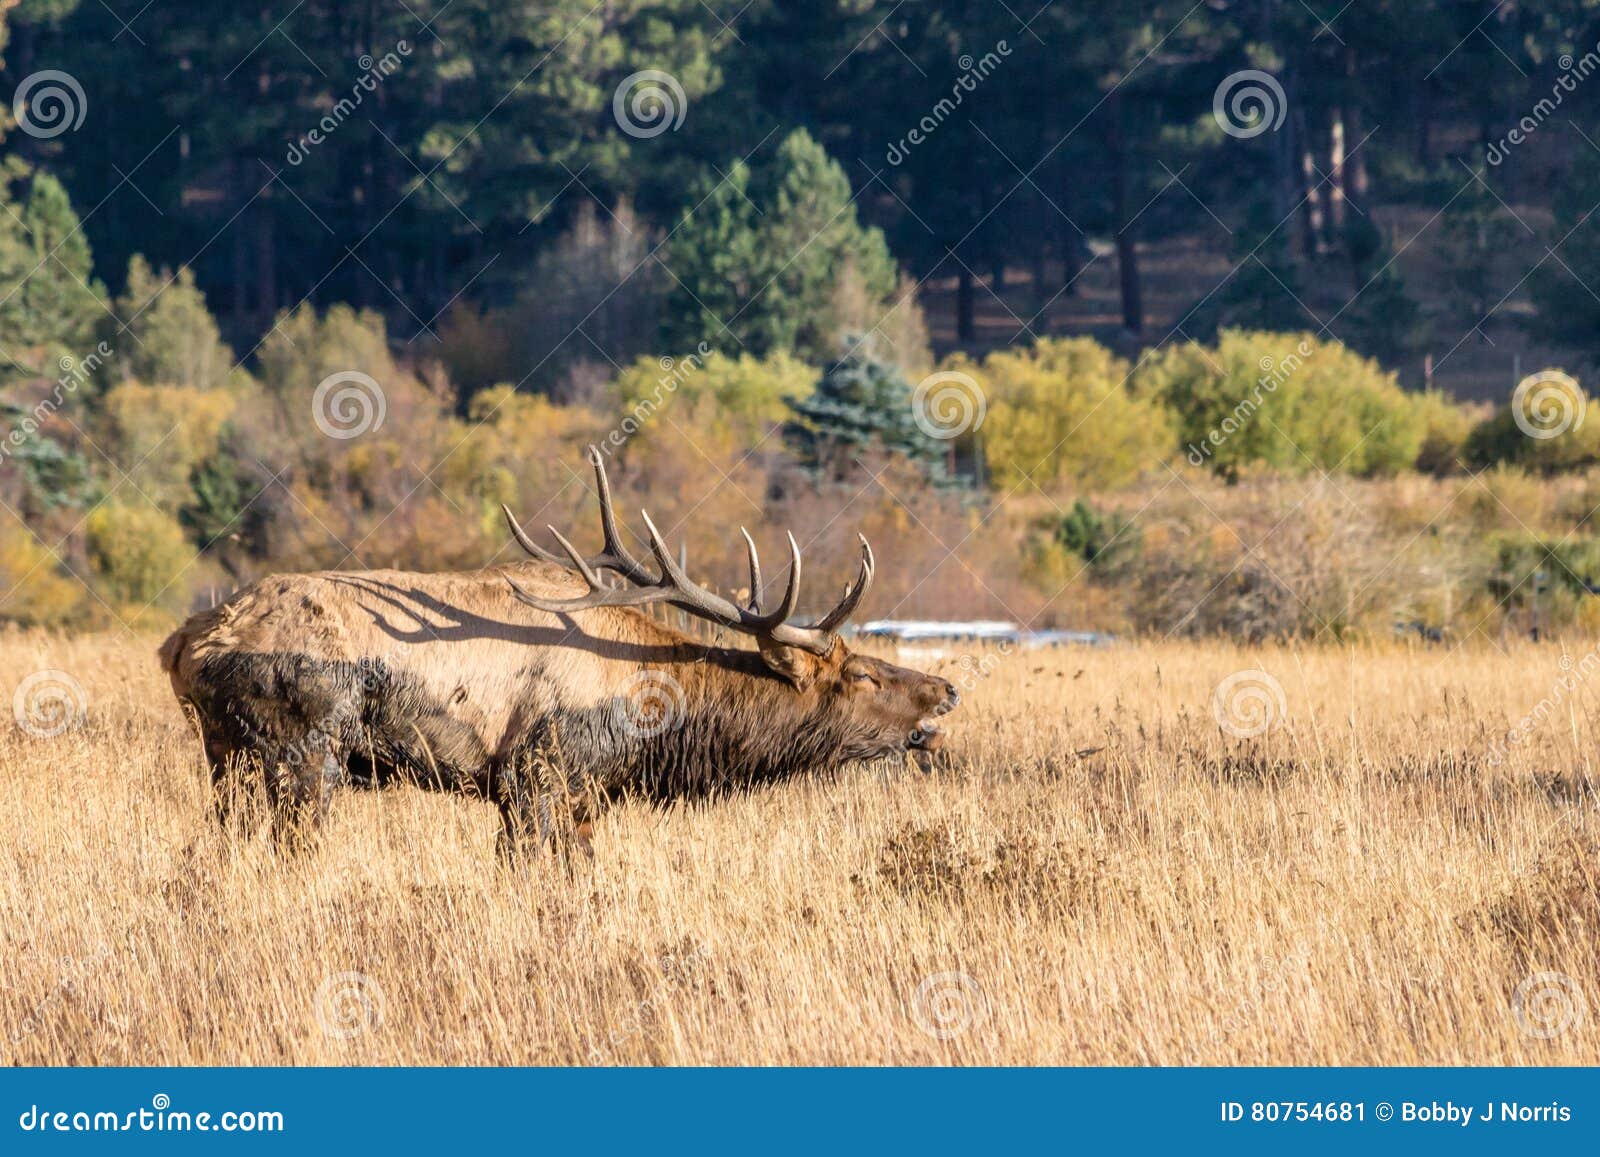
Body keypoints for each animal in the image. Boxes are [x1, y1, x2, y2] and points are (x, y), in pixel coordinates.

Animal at [160, 446, 960, 858]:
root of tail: (184, 644)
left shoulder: (581, 795)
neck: (654, 726)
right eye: (861, 673)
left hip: (225, 753)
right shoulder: (536, 772)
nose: (946, 690)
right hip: (305, 745)